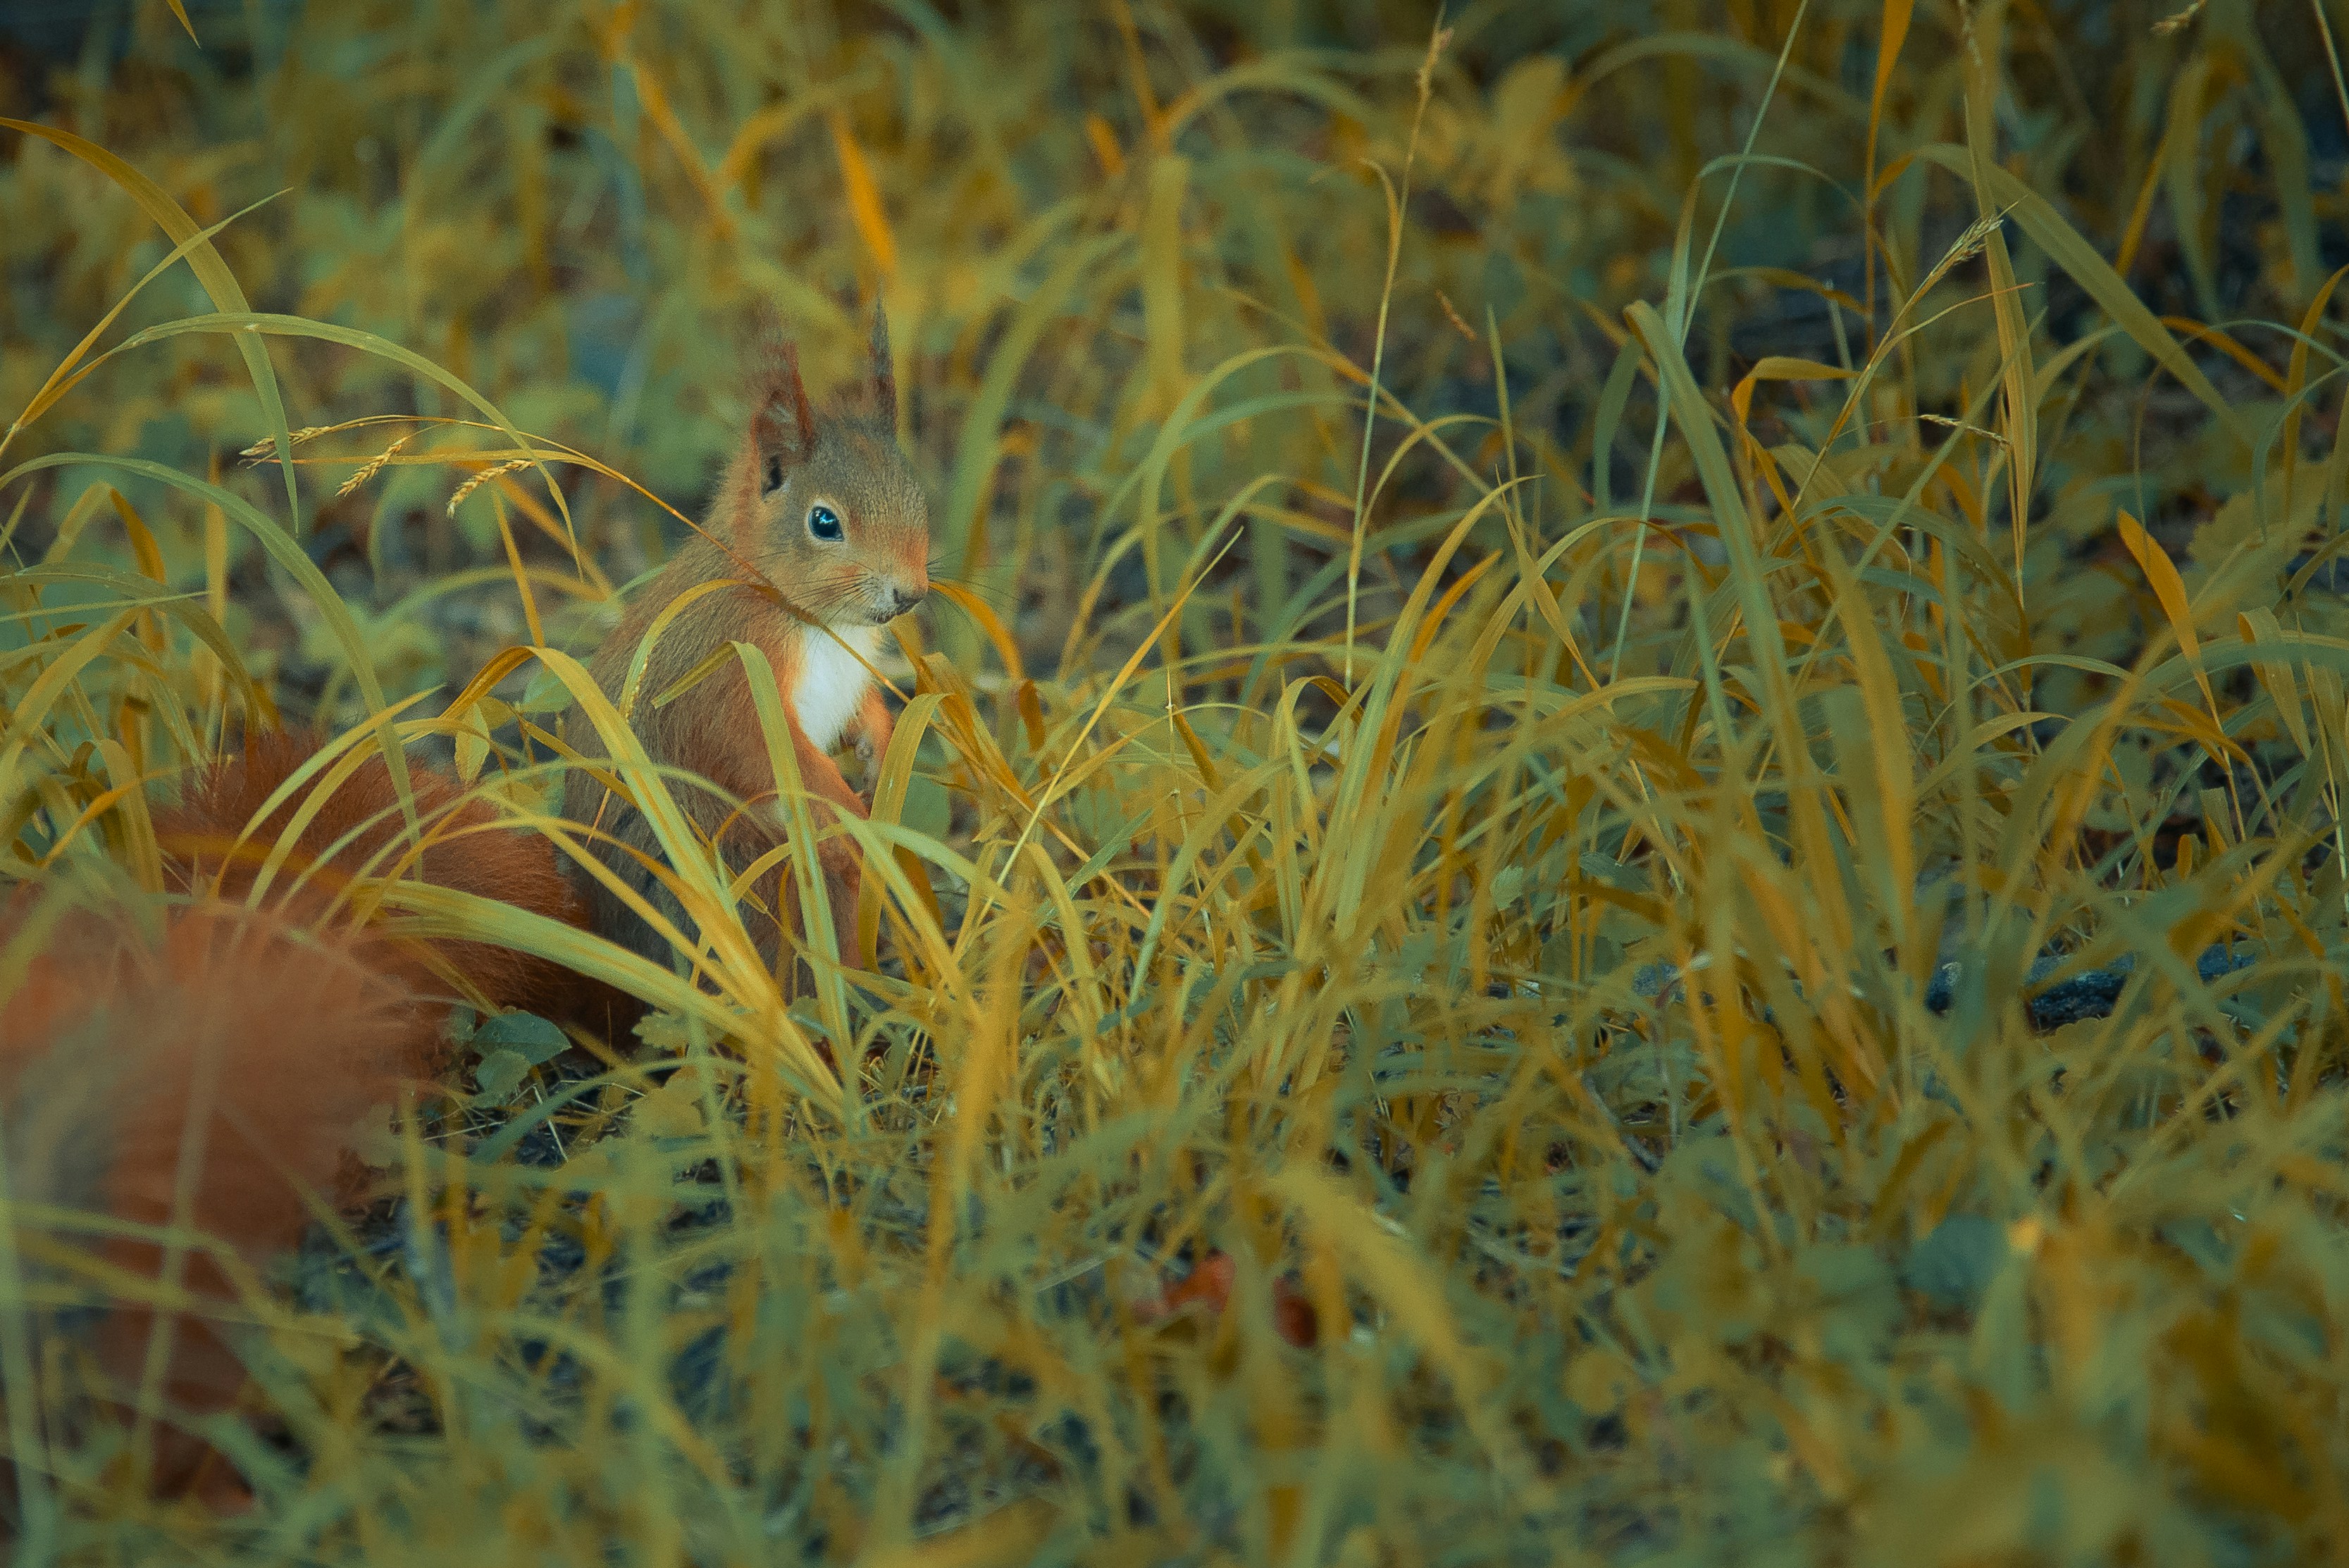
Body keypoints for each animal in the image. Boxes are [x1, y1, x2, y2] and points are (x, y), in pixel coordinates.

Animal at [564, 306, 929, 981]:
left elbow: (862, 717)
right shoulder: (726, 672)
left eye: (918, 497)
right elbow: (761, 751)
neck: (813, 620)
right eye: (824, 522)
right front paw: (853, 817)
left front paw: (880, 752)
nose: (909, 593)